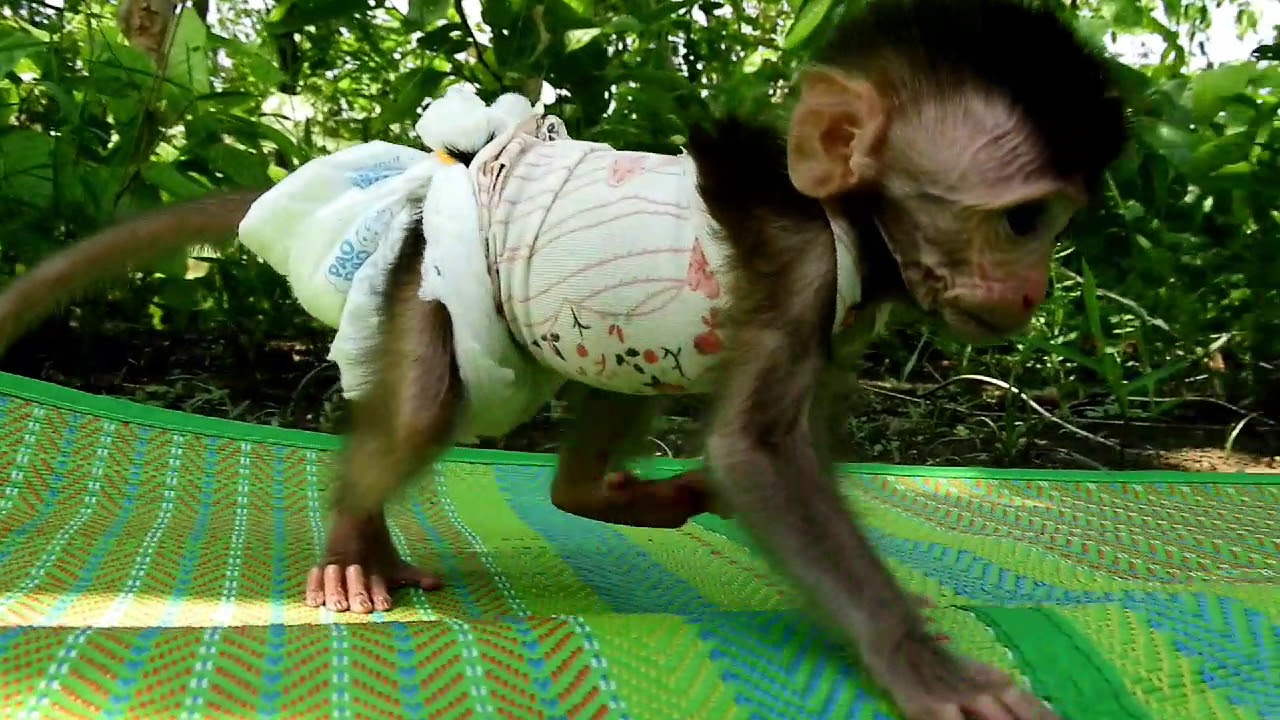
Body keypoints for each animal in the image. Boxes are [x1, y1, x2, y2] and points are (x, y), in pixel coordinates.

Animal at [0, 0, 1129, 717]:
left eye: (1052, 222)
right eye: (1022, 221)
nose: (1033, 291)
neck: (848, 225)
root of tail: (432, 175)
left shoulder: (841, 312)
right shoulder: (806, 264)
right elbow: (759, 454)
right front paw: (919, 662)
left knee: (622, 385)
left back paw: (597, 493)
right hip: (429, 286)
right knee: (421, 409)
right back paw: (355, 544)